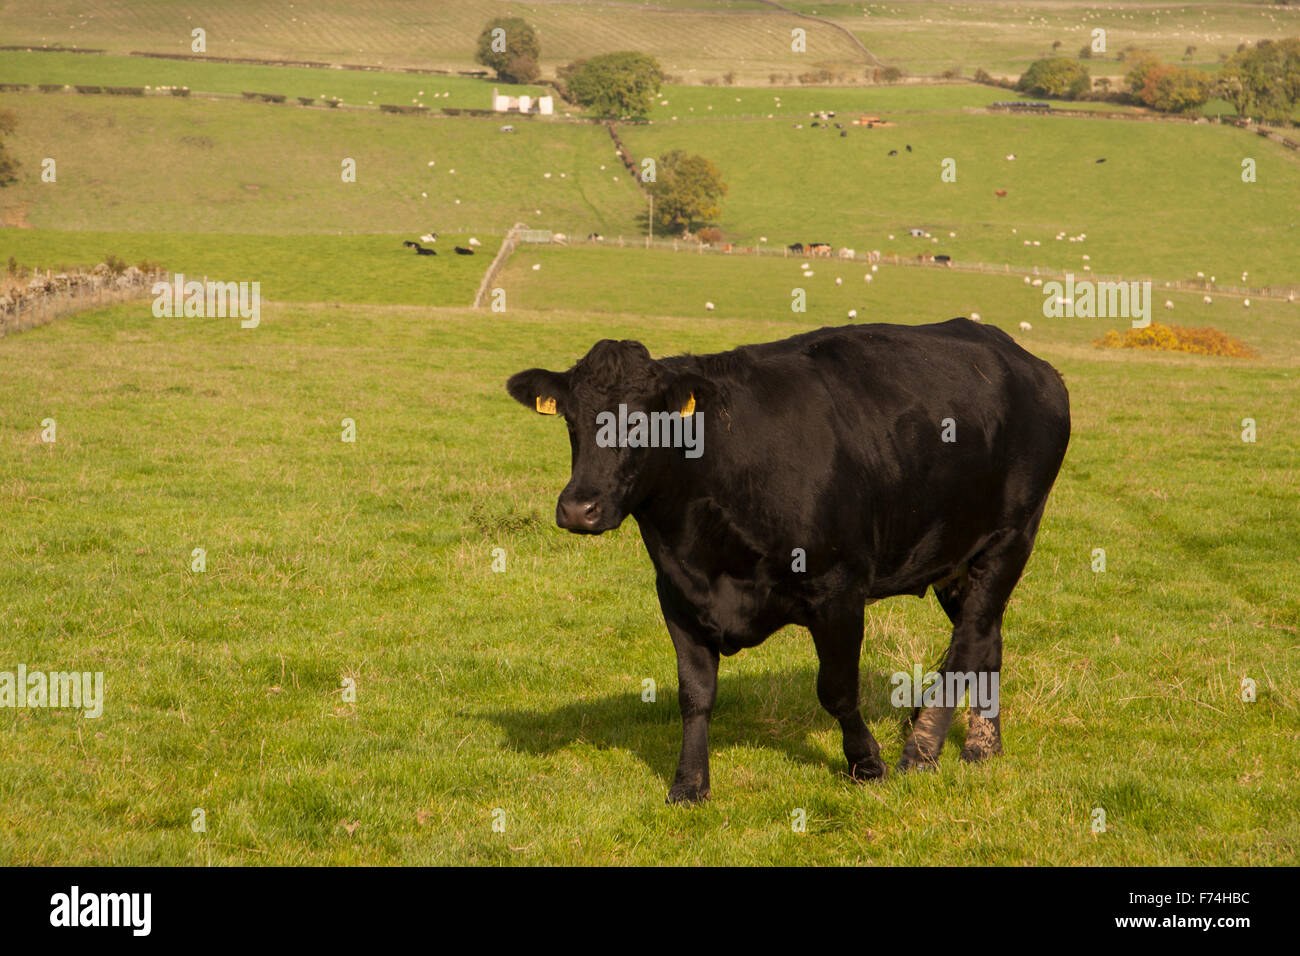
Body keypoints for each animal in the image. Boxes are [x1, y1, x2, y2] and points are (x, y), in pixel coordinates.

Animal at [506, 321, 1070, 803]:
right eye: (572, 419)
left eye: (646, 421)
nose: (579, 508)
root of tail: (1025, 361)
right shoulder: (677, 592)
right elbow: (694, 694)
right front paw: (689, 785)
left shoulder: (839, 588)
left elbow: (837, 689)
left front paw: (867, 765)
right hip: (958, 556)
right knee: (986, 639)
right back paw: (982, 746)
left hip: (1010, 539)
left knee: (969, 641)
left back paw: (922, 749)